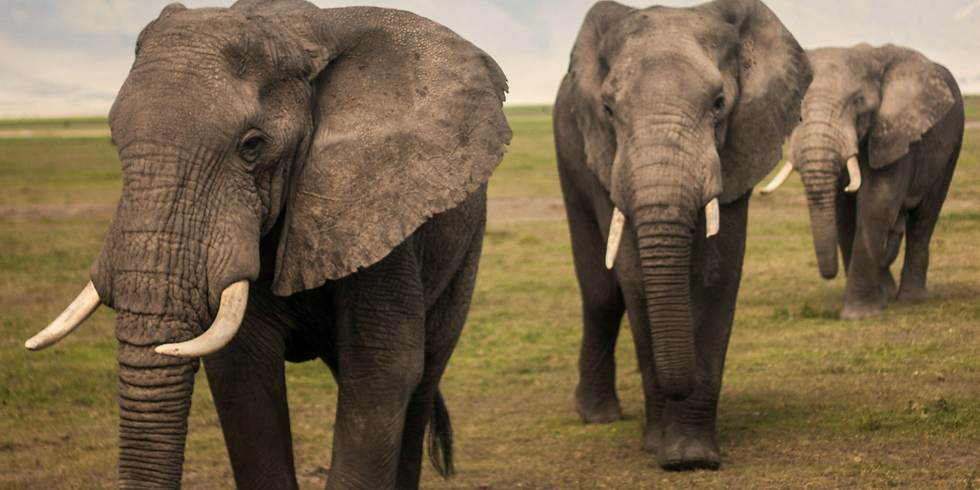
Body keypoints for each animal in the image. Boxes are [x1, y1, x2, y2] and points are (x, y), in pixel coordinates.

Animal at [23, 0, 511, 488]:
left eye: (252, 145)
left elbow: (382, 370)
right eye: (113, 139)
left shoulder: (378, 207)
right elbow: (244, 374)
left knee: (423, 380)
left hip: (466, 252)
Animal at [553, 0, 811, 471]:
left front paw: (691, 456)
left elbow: (716, 274)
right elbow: (635, 278)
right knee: (601, 293)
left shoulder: (739, 147)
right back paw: (597, 416)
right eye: (608, 110)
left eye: (719, 103)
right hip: (568, 150)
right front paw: (659, 447)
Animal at [758, 44, 964, 319]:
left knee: (925, 219)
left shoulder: (894, 134)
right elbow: (844, 213)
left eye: (858, 103)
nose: (829, 273)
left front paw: (859, 315)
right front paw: (877, 301)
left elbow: (877, 202)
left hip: (951, 146)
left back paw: (912, 298)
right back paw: (889, 293)